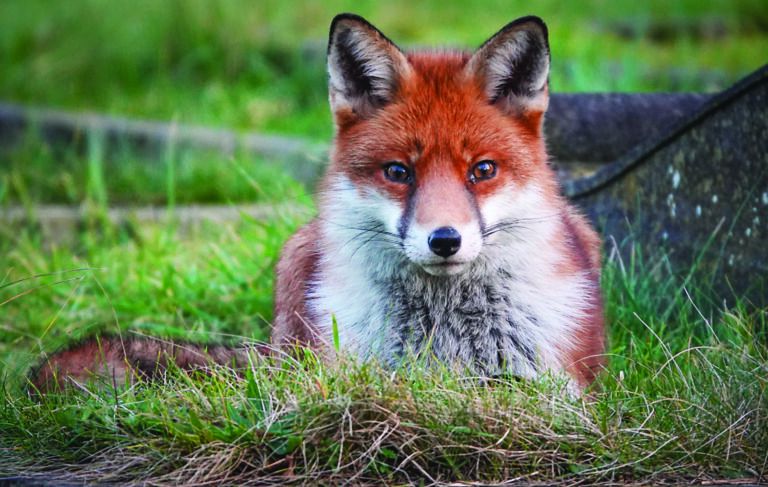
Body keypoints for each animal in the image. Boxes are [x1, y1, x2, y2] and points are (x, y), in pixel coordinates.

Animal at [30, 14, 604, 395]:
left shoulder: (557, 390)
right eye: (399, 172)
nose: (445, 240)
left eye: (481, 170)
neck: (443, 335)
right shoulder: (342, 374)